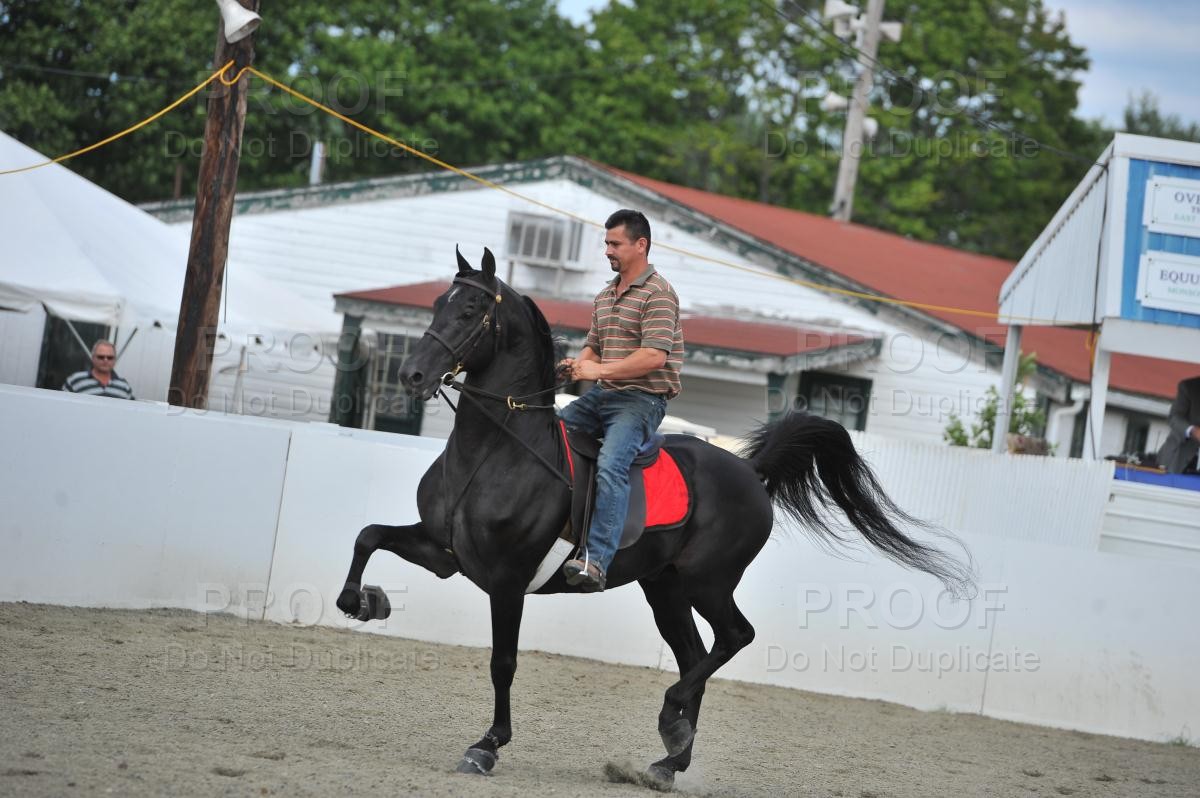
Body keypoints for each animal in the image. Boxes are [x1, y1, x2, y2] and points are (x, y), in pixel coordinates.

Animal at [335, 247, 973, 788]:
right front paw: (363, 601)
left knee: (734, 637)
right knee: (696, 655)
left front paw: (487, 746)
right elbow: (368, 535)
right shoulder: (445, 553)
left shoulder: (508, 582)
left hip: (707, 581)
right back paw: (669, 758)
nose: (412, 376)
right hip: (664, 587)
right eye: (437, 304)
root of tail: (749, 471)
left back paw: (670, 724)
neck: (495, 451)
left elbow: (503, 662)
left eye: (468, 310)